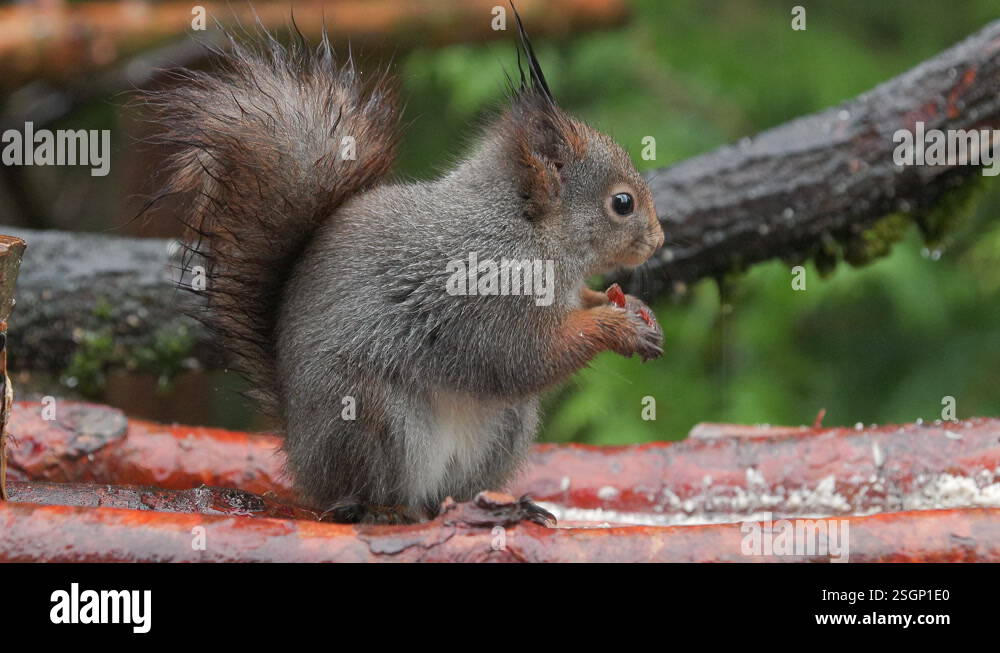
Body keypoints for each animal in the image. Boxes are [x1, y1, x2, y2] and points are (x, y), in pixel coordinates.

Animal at [148, 8, 665, 524]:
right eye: (622, 203)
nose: (659, 241)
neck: (529, 232)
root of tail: (301, 455)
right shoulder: (482, 287)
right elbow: (521, 356)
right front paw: (614, 327)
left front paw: (634, 308)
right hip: (372, 414)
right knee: (369, 494)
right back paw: (388, 510)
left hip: (506, 427)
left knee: (451, 494)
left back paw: (497, 506)